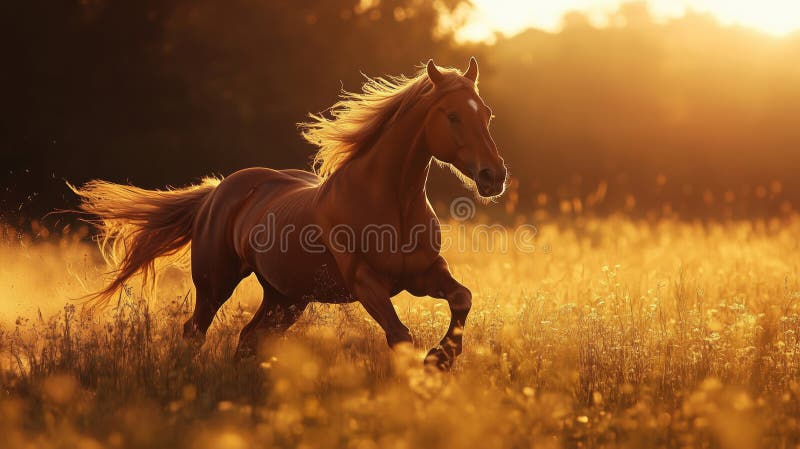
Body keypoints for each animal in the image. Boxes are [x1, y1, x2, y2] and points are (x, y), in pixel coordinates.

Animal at [72, 58, 507, 370]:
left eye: (486, 113)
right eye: (452, 115)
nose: (494, 176)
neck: (389, 202)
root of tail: (217, 192)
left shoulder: (424, 274)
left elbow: (462, 298)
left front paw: (441, 359)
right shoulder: (366, 282)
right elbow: (400, 337)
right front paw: (426, 372)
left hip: (285, 297)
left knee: (249, 339)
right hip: (217, 284)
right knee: (195, 330)